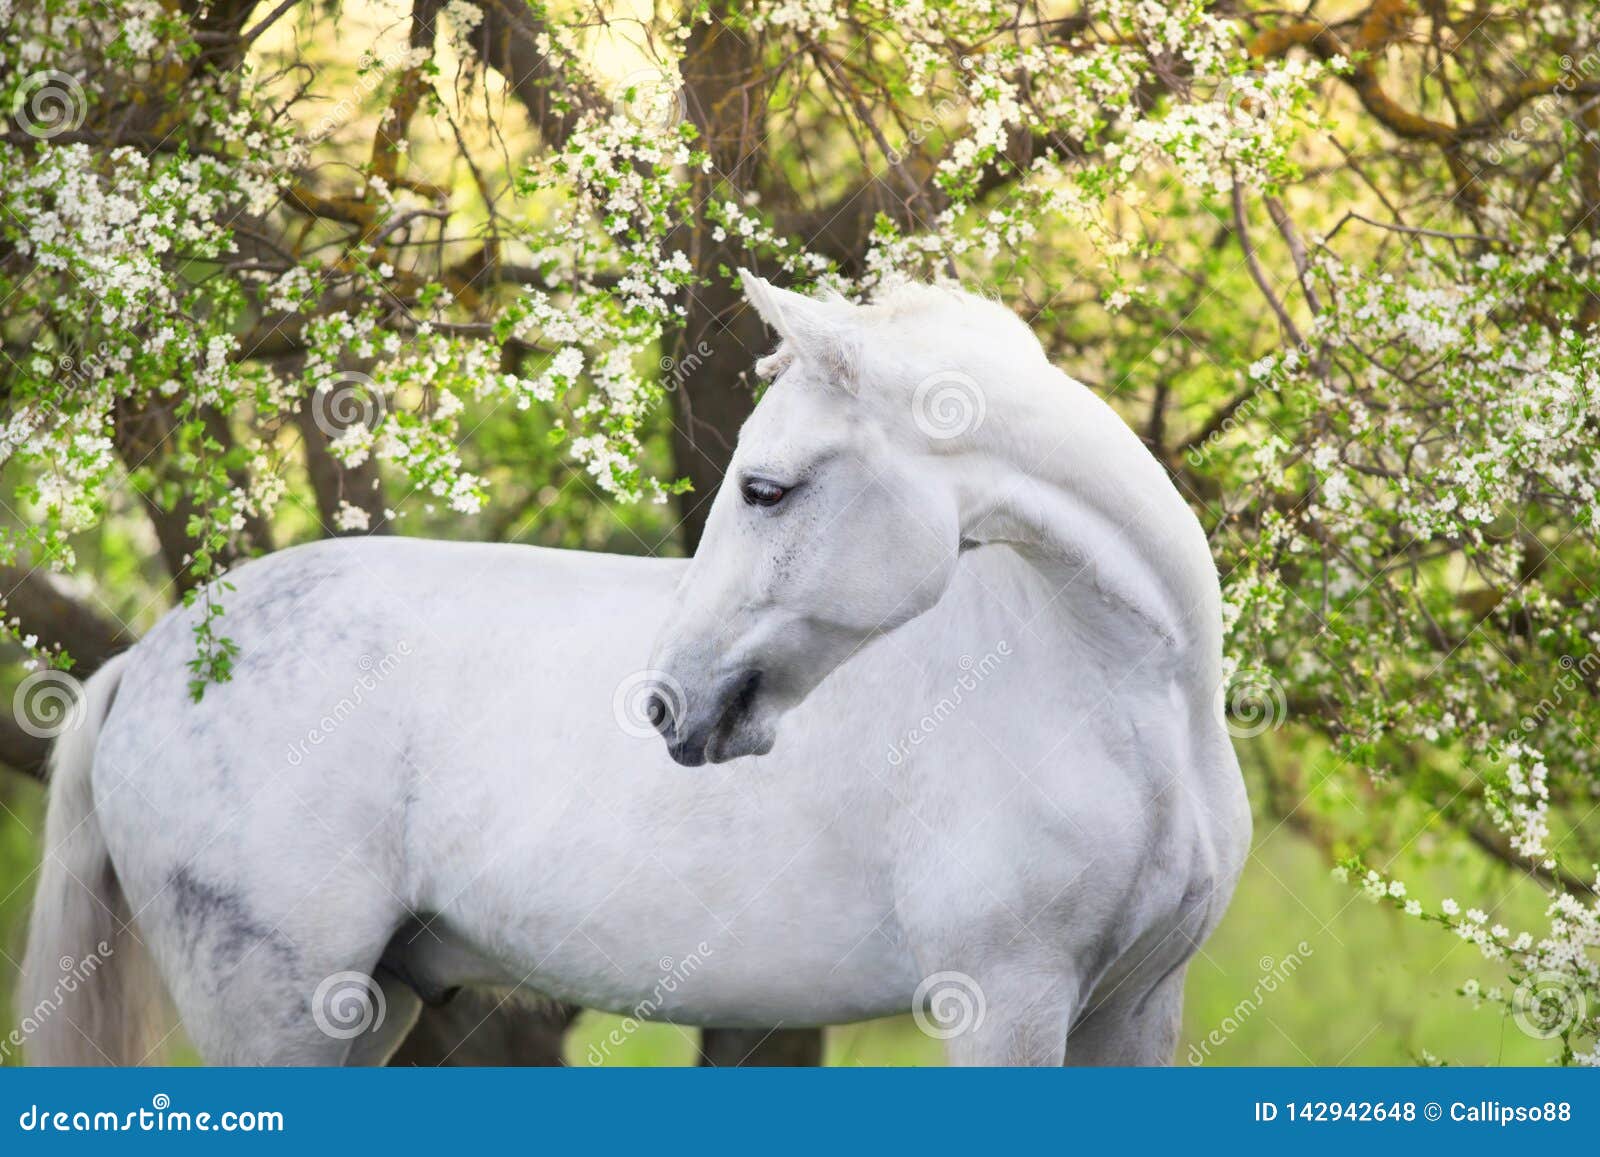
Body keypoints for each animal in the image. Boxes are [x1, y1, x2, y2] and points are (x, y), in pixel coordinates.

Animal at [19, 273, 1250, 1066]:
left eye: (766, 487)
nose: (667, 702)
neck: (1126, 697)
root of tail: (151, 656)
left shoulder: (1134, 1009)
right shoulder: (1002, 1000)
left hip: (373, 1005)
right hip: (279, 1012)